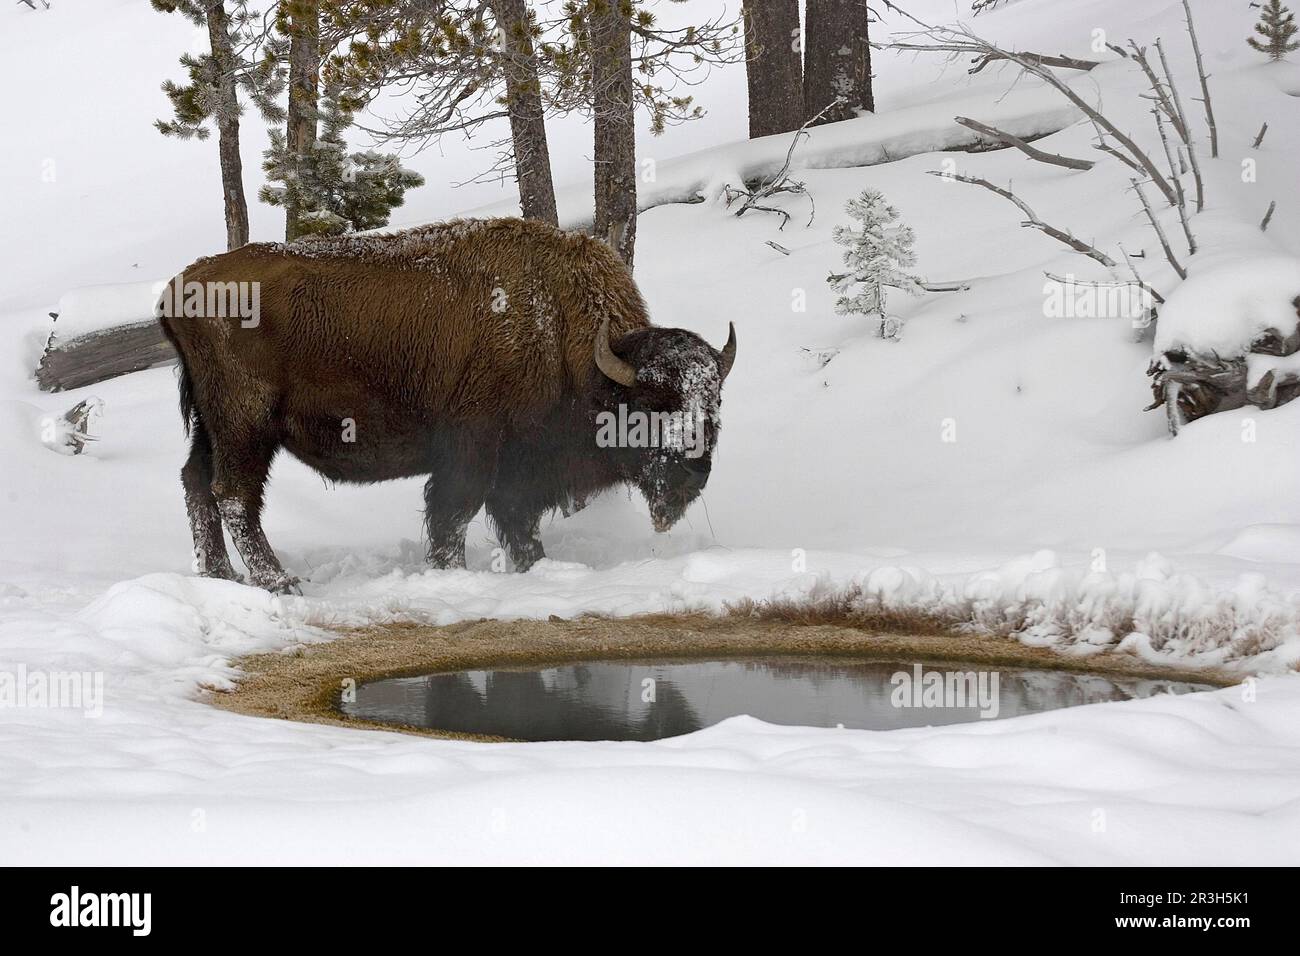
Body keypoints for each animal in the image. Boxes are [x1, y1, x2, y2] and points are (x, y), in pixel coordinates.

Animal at [158, 218, 735, 591]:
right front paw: (450, 572)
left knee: (197, 482)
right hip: (246, 425)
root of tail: (180, 288)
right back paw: (279, 581)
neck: (565, 337)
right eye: (652, 402)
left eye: (714, 404)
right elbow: (456, 512)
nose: (693, 474)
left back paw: (220, 574)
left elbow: (516, 522)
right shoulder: (475, 450)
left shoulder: (517, 470)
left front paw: (531, 566)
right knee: (234, 494)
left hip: (214, 428)